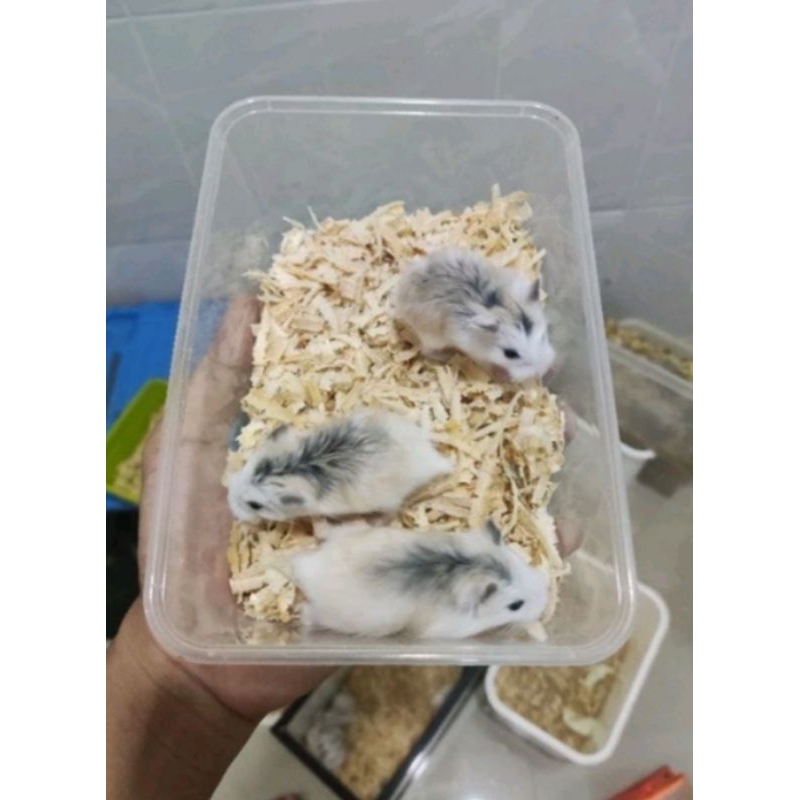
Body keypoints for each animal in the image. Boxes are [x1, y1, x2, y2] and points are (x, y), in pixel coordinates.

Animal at [227, 410, 452, 523]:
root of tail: (430, 457)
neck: (297, 466)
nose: (231, 506)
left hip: (389, 501)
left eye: (254, 505)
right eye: (246, 467)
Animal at [291, 520, 550, 639]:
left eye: (522, 563)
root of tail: (309, 566)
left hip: (351, 531)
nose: (545, 602)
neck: (475, 569)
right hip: (338, 619)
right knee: (307, 614)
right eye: (515, 606)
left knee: (325, 533)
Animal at [392, 248, 556, 383]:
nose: (542, 371)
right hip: (433, 337)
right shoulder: (475, 352)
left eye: (544, 337)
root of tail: (399, 294)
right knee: (427, 351)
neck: (500, 308)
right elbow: (487, 364)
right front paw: (501, 376)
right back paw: (449, 356)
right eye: (510, 354)